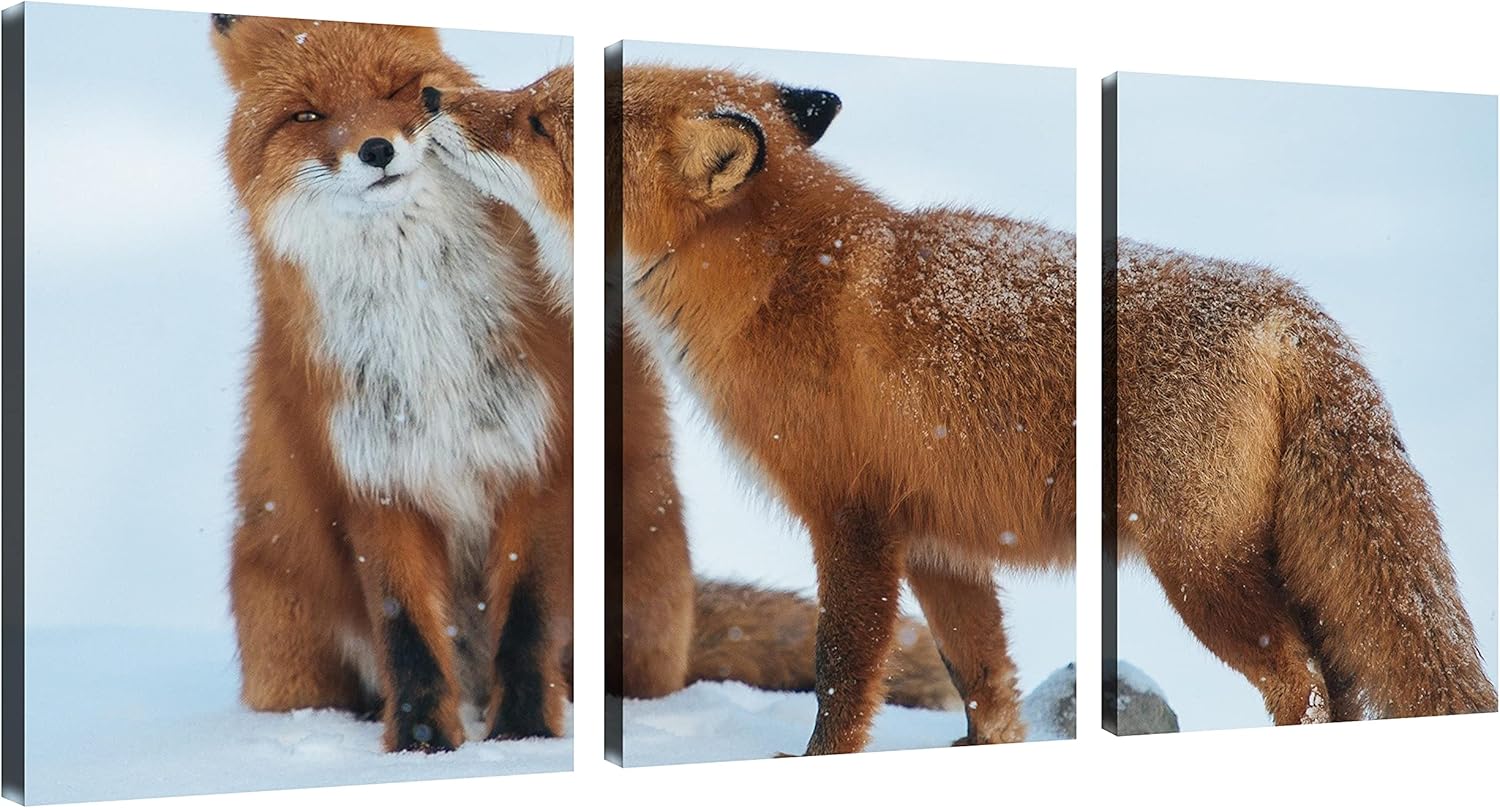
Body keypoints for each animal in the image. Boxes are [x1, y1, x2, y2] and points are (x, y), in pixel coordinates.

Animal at [212, 15, 573, 752]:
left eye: (395, 88)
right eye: (308, 115)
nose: (376, 149)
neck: (425, 331)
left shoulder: (539, 461)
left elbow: (527, 623)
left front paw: (524, 736)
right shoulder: (378, 481)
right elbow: (407, 633)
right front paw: (422, 748)